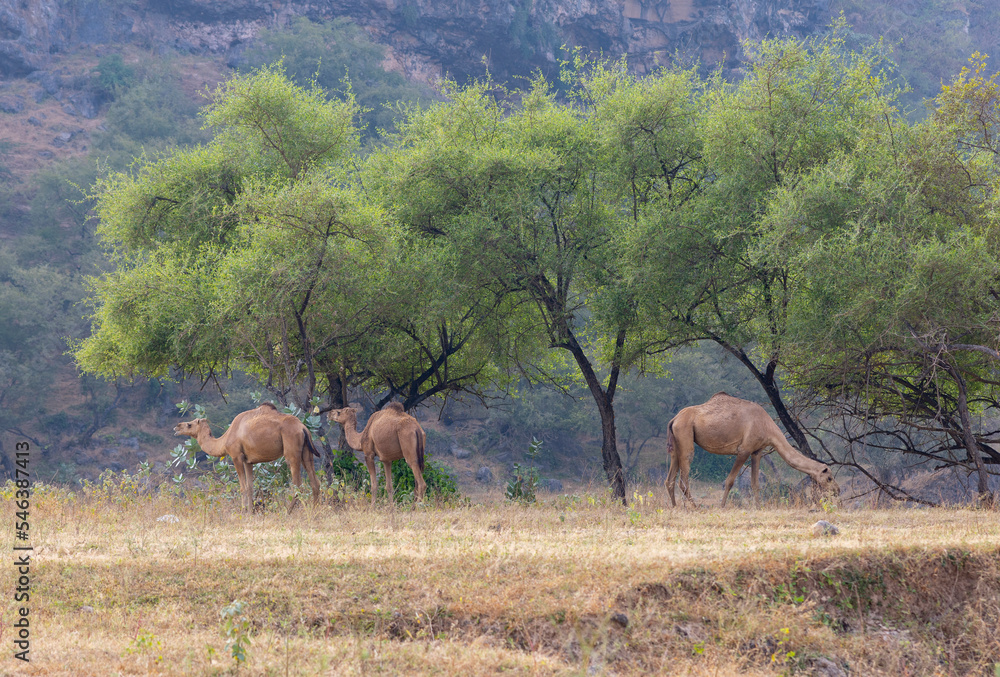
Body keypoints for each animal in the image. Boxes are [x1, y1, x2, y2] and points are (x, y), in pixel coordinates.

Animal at [173, 403, 321, 513]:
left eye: (189, 424)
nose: (177, 427)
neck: (225, 439)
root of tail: (303, 427)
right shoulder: (248, 461)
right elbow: (250, 487)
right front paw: (250, 513)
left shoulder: (236, 456)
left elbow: (243, 487)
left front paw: (243, 512)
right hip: (306, 451)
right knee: (315, 482)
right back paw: (314, 512)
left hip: (292, 450)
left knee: (298, 485)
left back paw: (288, 512)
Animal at [665, 392, 840, 508]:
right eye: (829, 478)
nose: (837, 490)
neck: (767, 426)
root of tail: (674, 419)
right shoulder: (744, 449)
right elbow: (730, 481)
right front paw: (722, 506)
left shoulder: (757, 451)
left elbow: (755, 484)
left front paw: (758, 507)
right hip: (685, 434)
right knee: (684, 477)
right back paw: (695, 507)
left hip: (676, 443)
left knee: (670, 478)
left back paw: (674, 506)